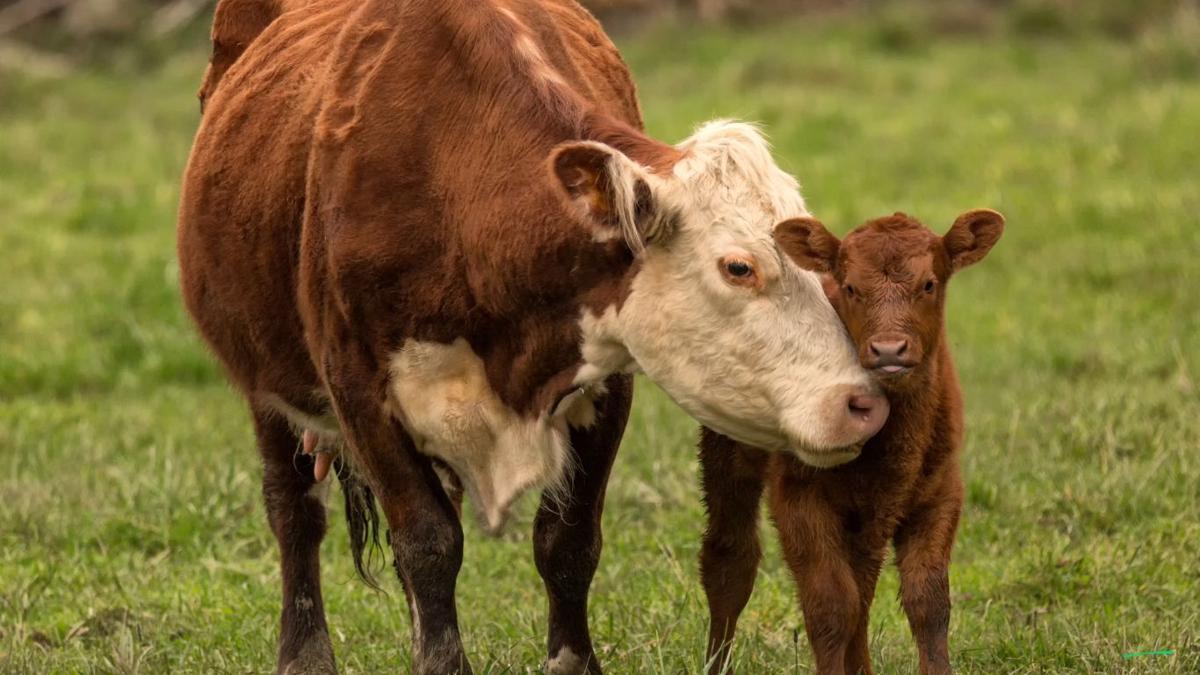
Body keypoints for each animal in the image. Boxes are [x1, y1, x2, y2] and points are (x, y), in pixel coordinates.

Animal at [176, 0, 889, 672]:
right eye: (738, 267)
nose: (863, 403)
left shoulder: (606, 381)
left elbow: (566, 541)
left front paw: (572, 661)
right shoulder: (358, 389)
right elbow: (427, 543)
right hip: (267, 385)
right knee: (295, 511)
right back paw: (305, 654)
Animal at [697, 209, 1005, 675]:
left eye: (929, 284)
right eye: (851, 288)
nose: (889, 349)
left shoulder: (940, 493)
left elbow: (928, 602)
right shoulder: (799, 497)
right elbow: (830, 605)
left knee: (863, 583)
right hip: (727, 450)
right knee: (730, 560)